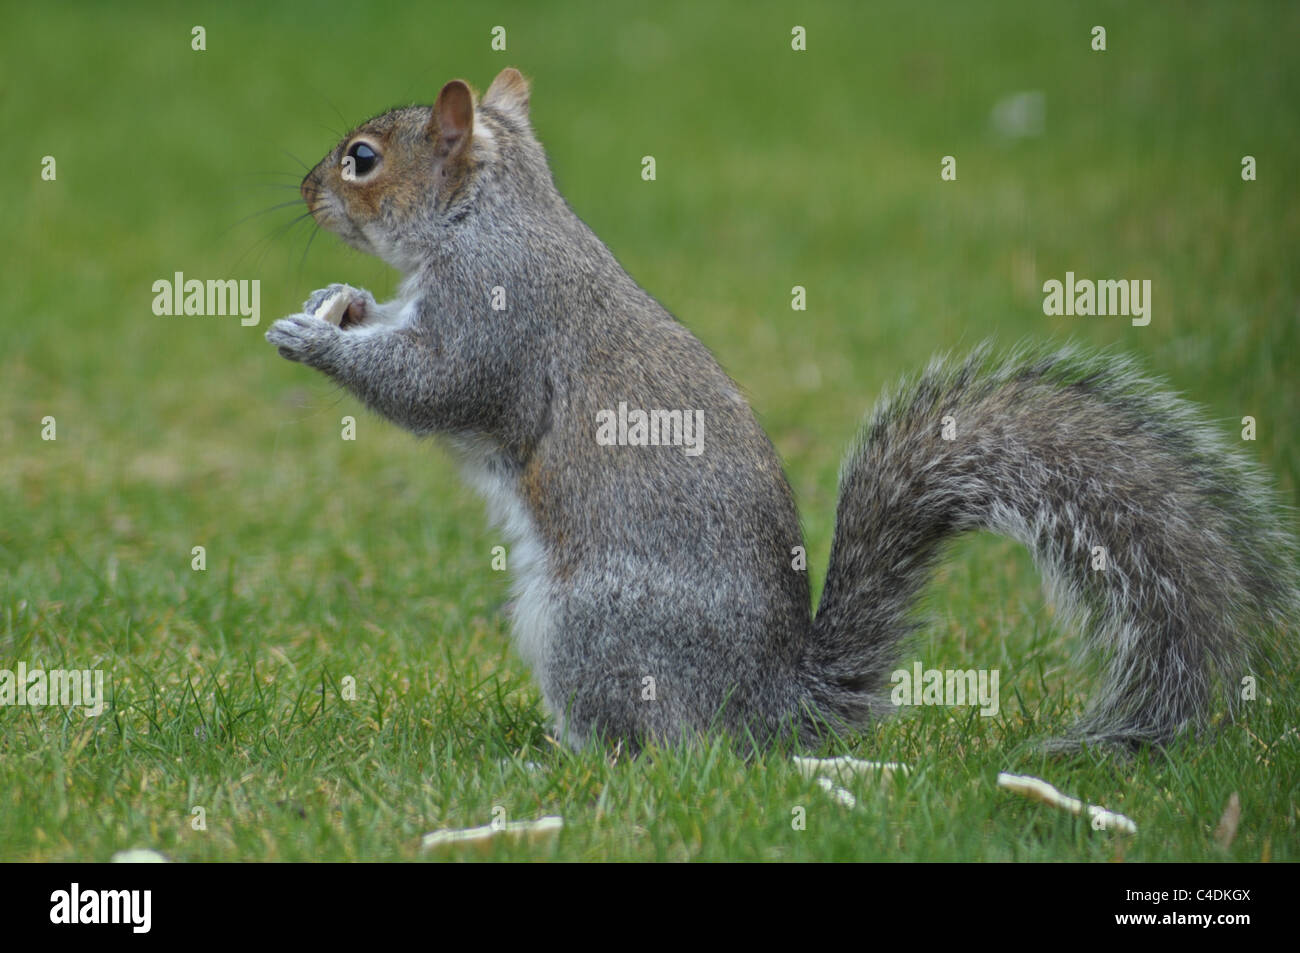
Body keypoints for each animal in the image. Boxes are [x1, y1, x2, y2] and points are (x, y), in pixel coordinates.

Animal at [267, 68, 1299, 754]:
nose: (305, 190)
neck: (489, 213)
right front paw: (339, 302)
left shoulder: (496, 317)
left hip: (594, 629)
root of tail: (774, 702)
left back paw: (566, 760)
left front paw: (313, 338)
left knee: (663, 750)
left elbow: (437, 387)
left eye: (363, 160)